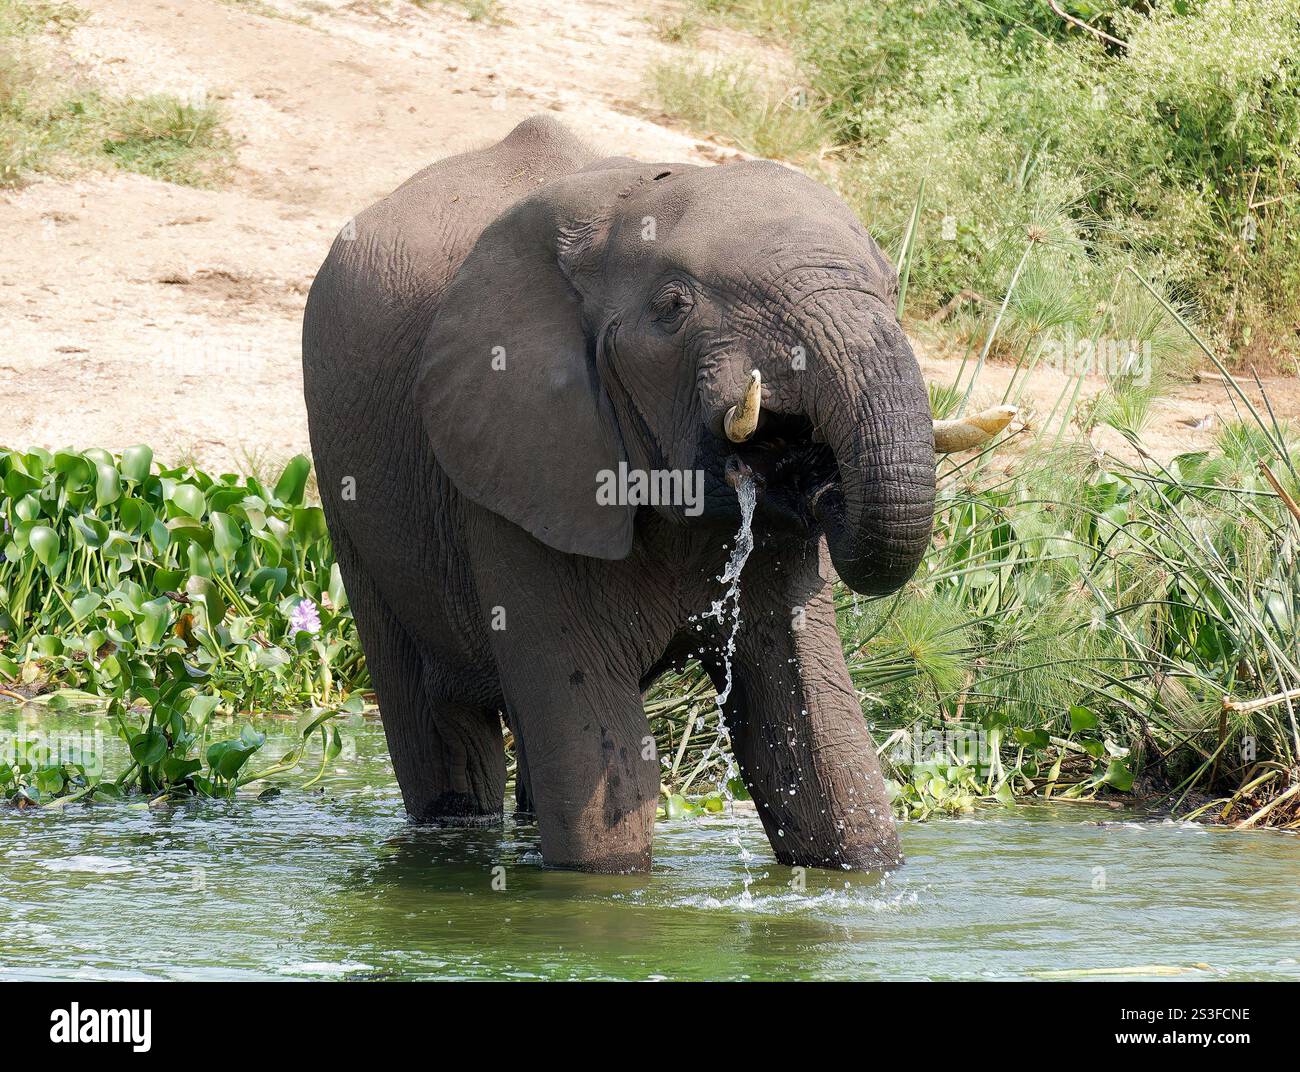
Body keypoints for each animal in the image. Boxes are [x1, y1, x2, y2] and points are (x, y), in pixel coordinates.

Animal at [302, 116, 1009, 874]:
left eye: (894, 287)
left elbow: (815, 732)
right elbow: (603, 763)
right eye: (673, 308)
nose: (811, 464)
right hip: (347, 485)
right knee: (440, 728)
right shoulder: (518, 474)